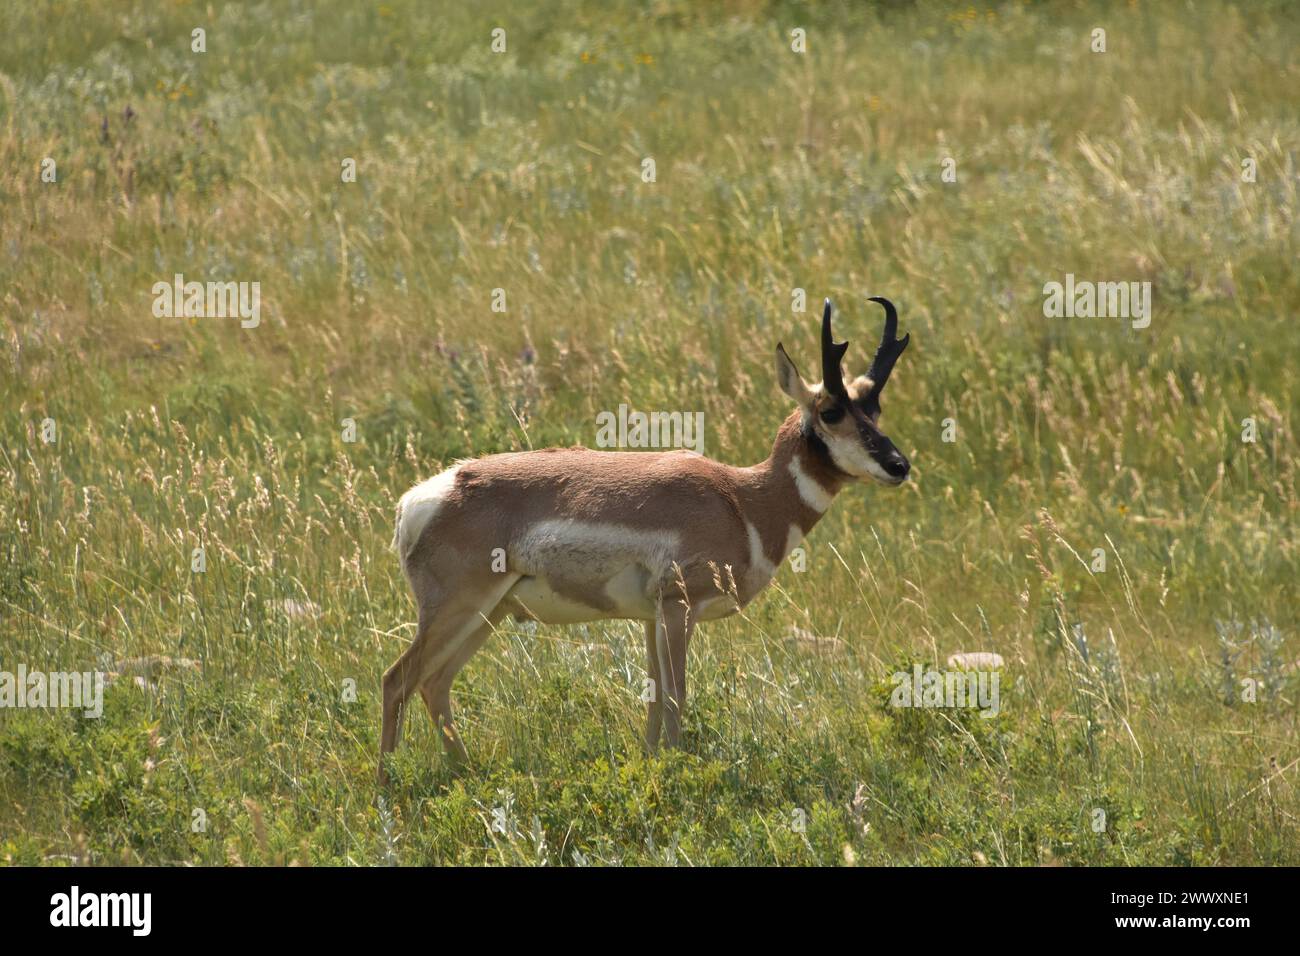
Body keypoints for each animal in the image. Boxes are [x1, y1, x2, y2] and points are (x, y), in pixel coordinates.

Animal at [380, 297, 911, 781]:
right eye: (831, 411)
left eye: (875, 406)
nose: (899, 465)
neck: (742, 499)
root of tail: (422, 497)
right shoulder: (678, 608)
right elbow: (675, 697)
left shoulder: (651, 617)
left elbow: (655, 701)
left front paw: (653, 768)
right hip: (459, 608)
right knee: (397, 679)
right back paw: (388, 788)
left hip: (488, 615)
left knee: (434, 683)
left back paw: (467, 773)